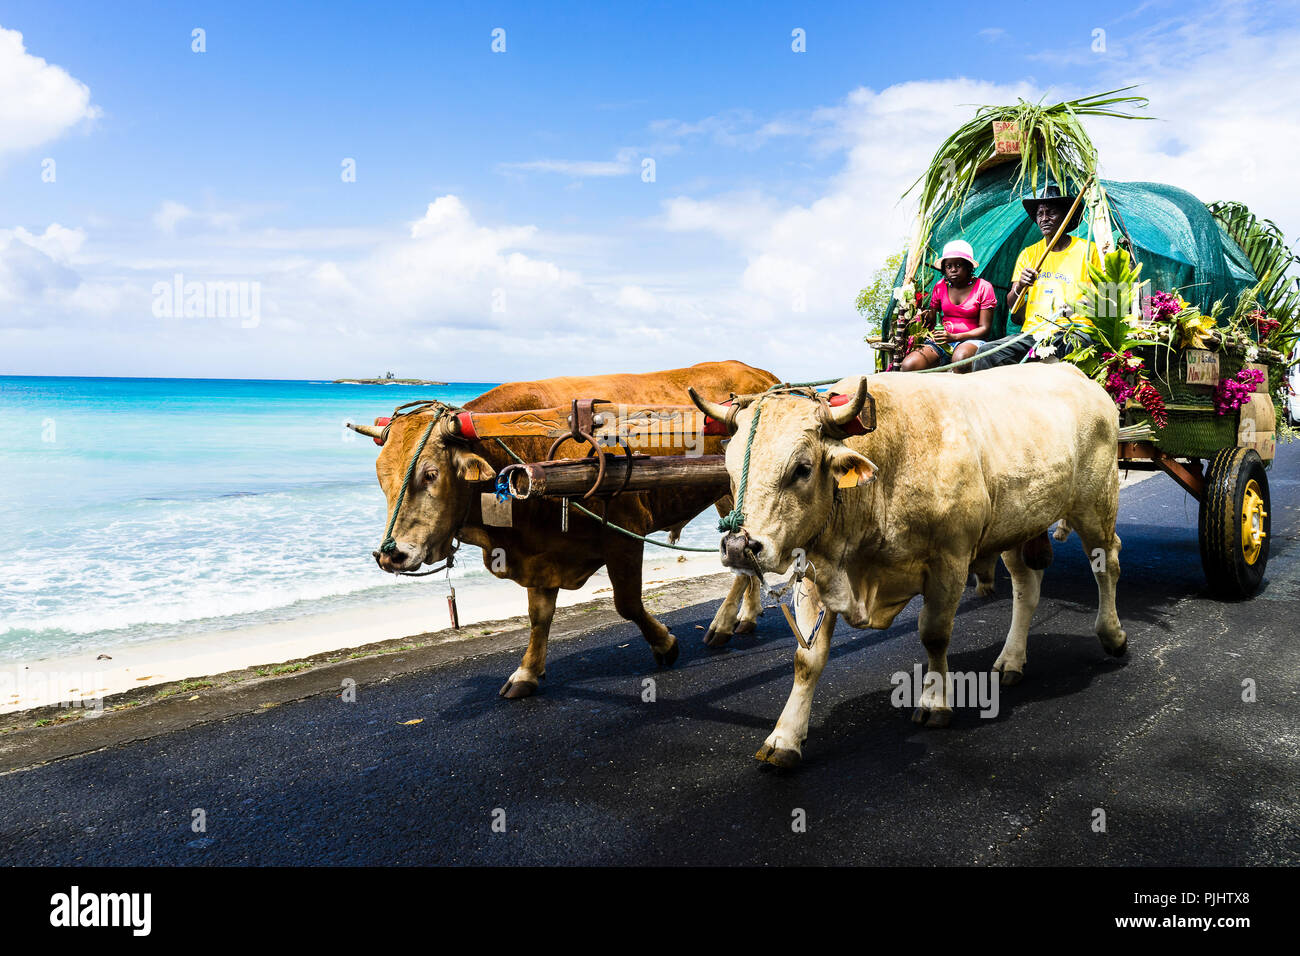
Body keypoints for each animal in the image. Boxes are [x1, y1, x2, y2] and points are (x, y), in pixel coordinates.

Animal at [354, 361, 779, 698]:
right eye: (380, 477)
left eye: (430, 474)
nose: (391, 554)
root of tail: (763, 376)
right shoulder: (541, 555)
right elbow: (539, 616)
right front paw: (527, 672)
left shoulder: (624, 532)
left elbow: (627, 604)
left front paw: (665, 645)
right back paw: (745, 618)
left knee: (741, 563)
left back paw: (723, 624)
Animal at [689, 362, 1127, 767]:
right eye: (729, 470)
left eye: (802, 468)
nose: (740, 546)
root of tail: (1075, 373)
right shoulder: (814, 574)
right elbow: (806, 659)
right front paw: (785, 737)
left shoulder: (950, 561)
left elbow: (934, 634)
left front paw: (935, 701)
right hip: (1018, 524)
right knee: (1027, 587)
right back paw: (1012, 660)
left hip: (1096, 505)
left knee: (1108, 564)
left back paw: (1112, 634)